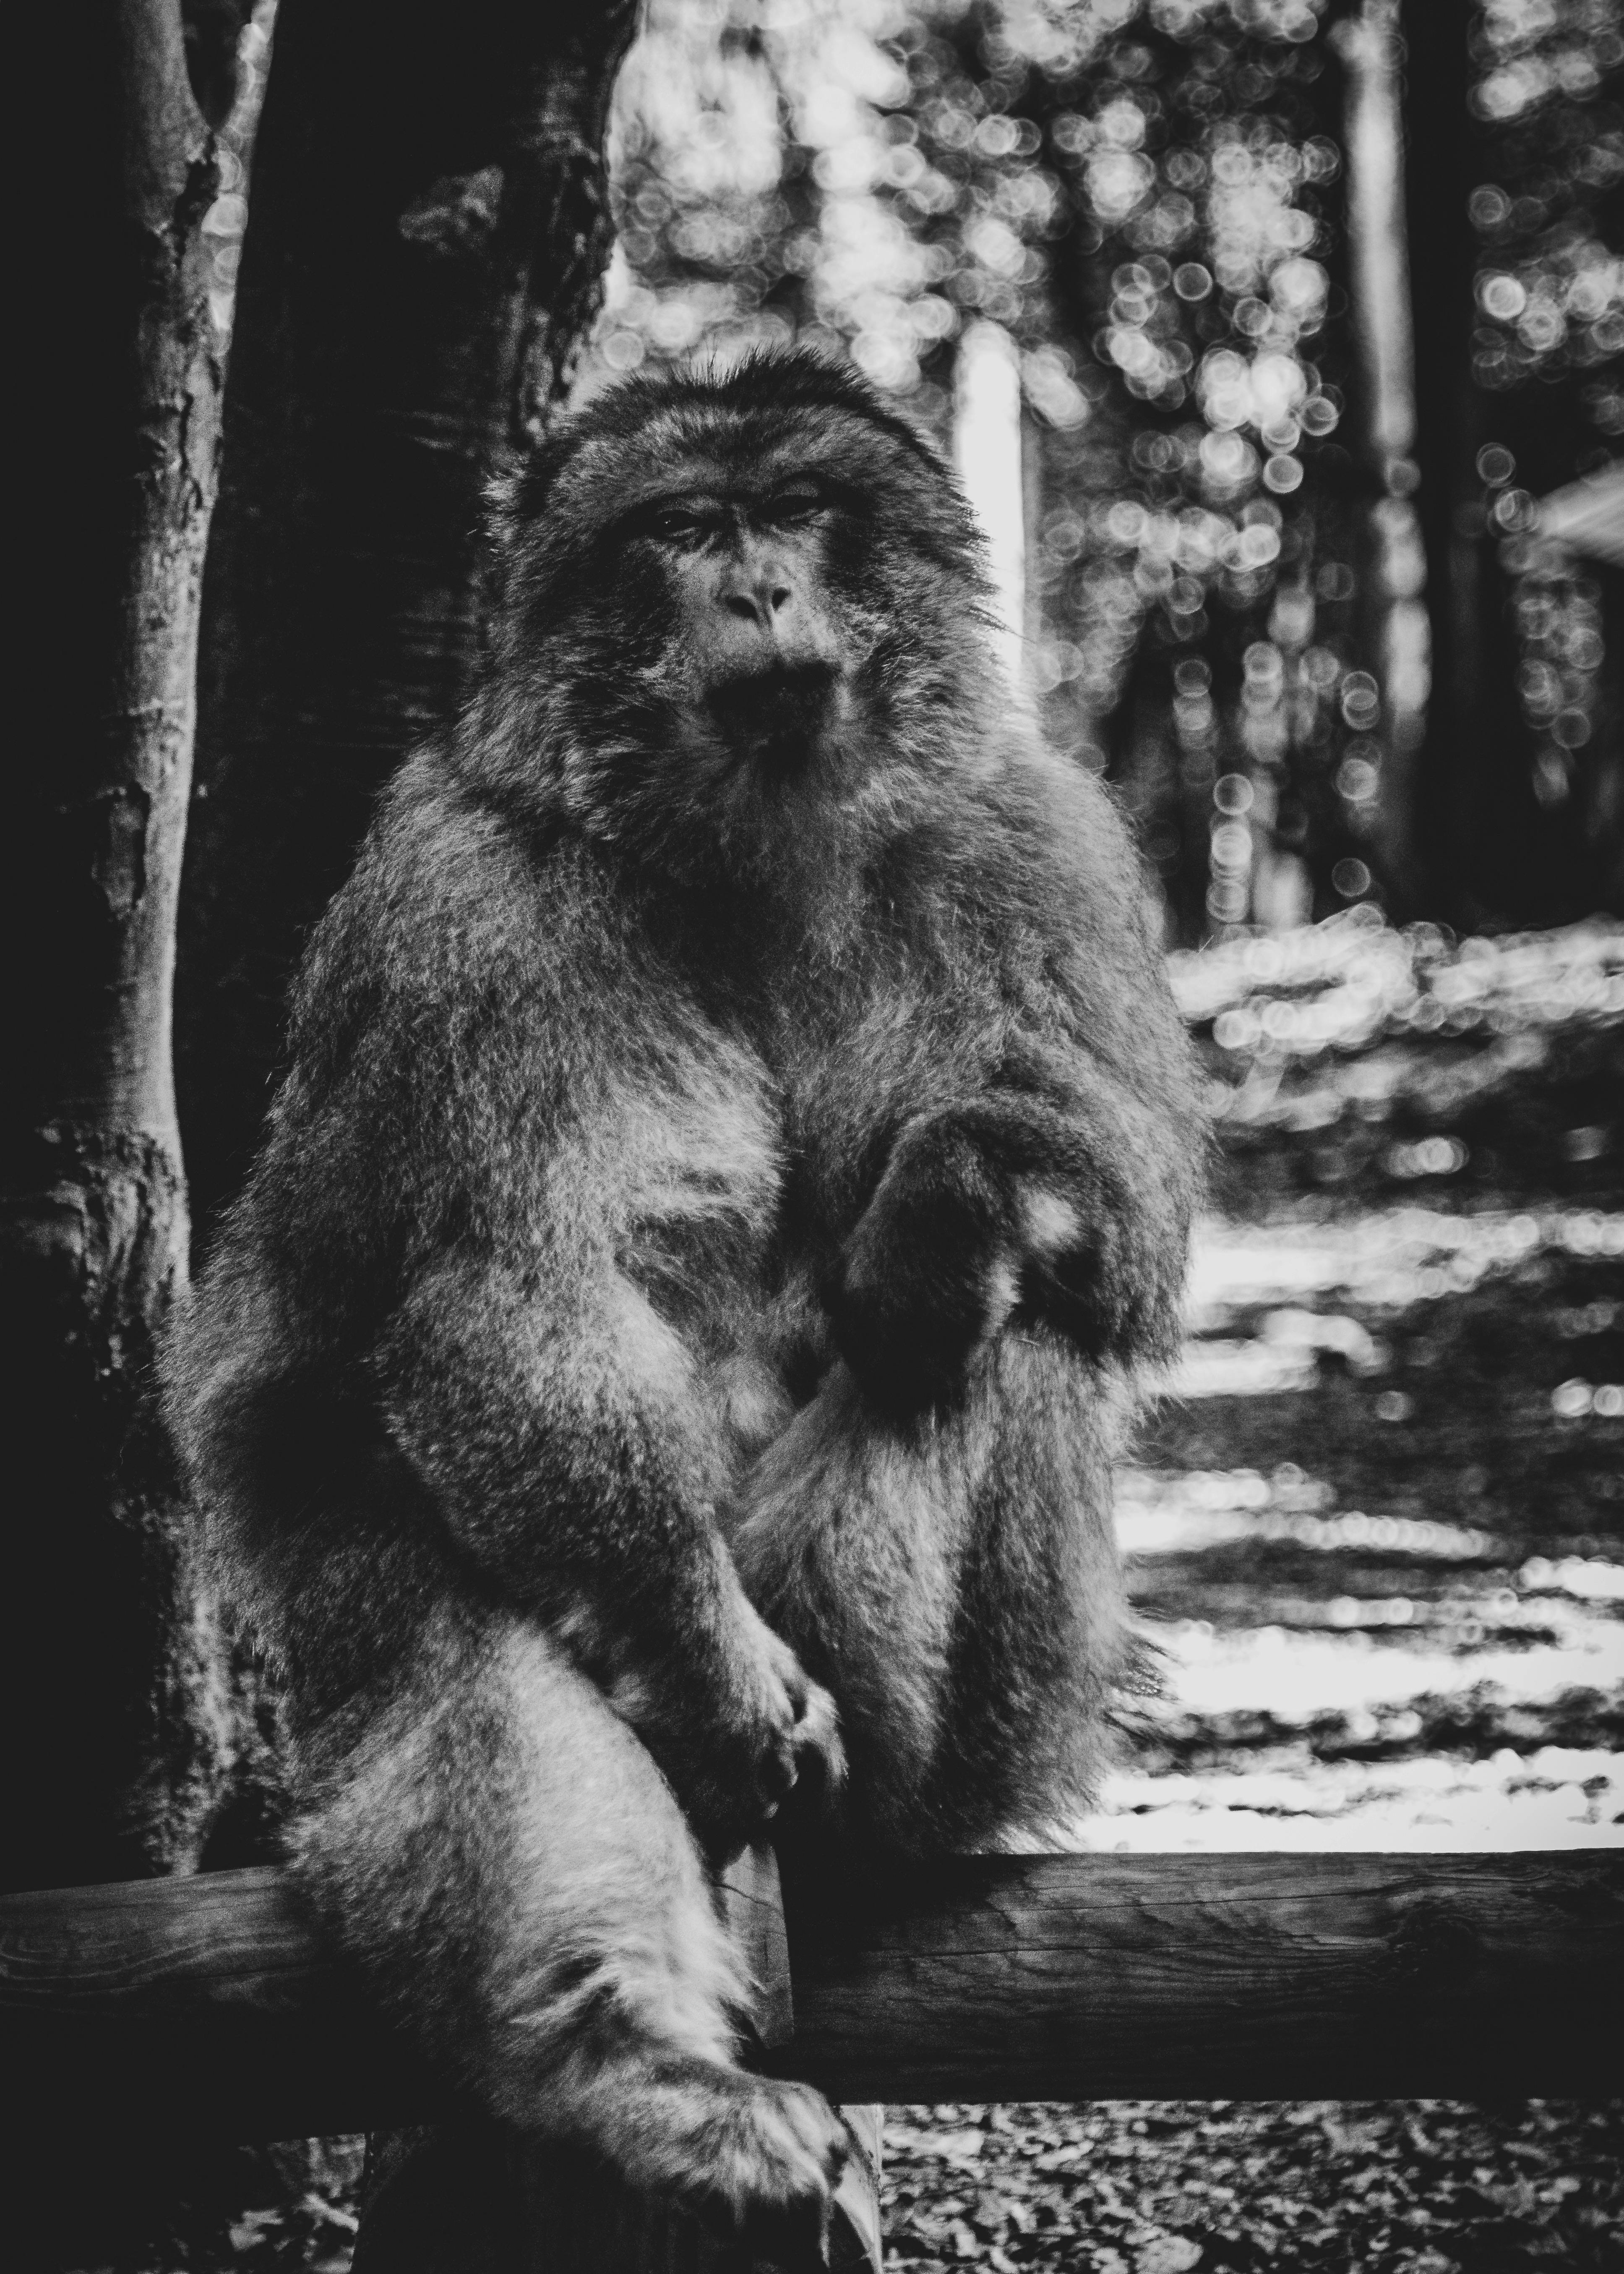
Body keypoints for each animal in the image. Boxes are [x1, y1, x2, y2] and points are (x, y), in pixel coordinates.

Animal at [166, 350, 1203, 2261]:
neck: (751, 848)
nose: (762, 591)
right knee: (471, 1640)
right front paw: (709, 1677)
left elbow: (1118, 1202)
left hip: (977, 1734)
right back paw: (637, 2062)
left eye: (795, 512)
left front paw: (948, 1195)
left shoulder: (1026, 833)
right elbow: (505, 1299)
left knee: (983, 1335)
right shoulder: (468, 906)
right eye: (680, 532)